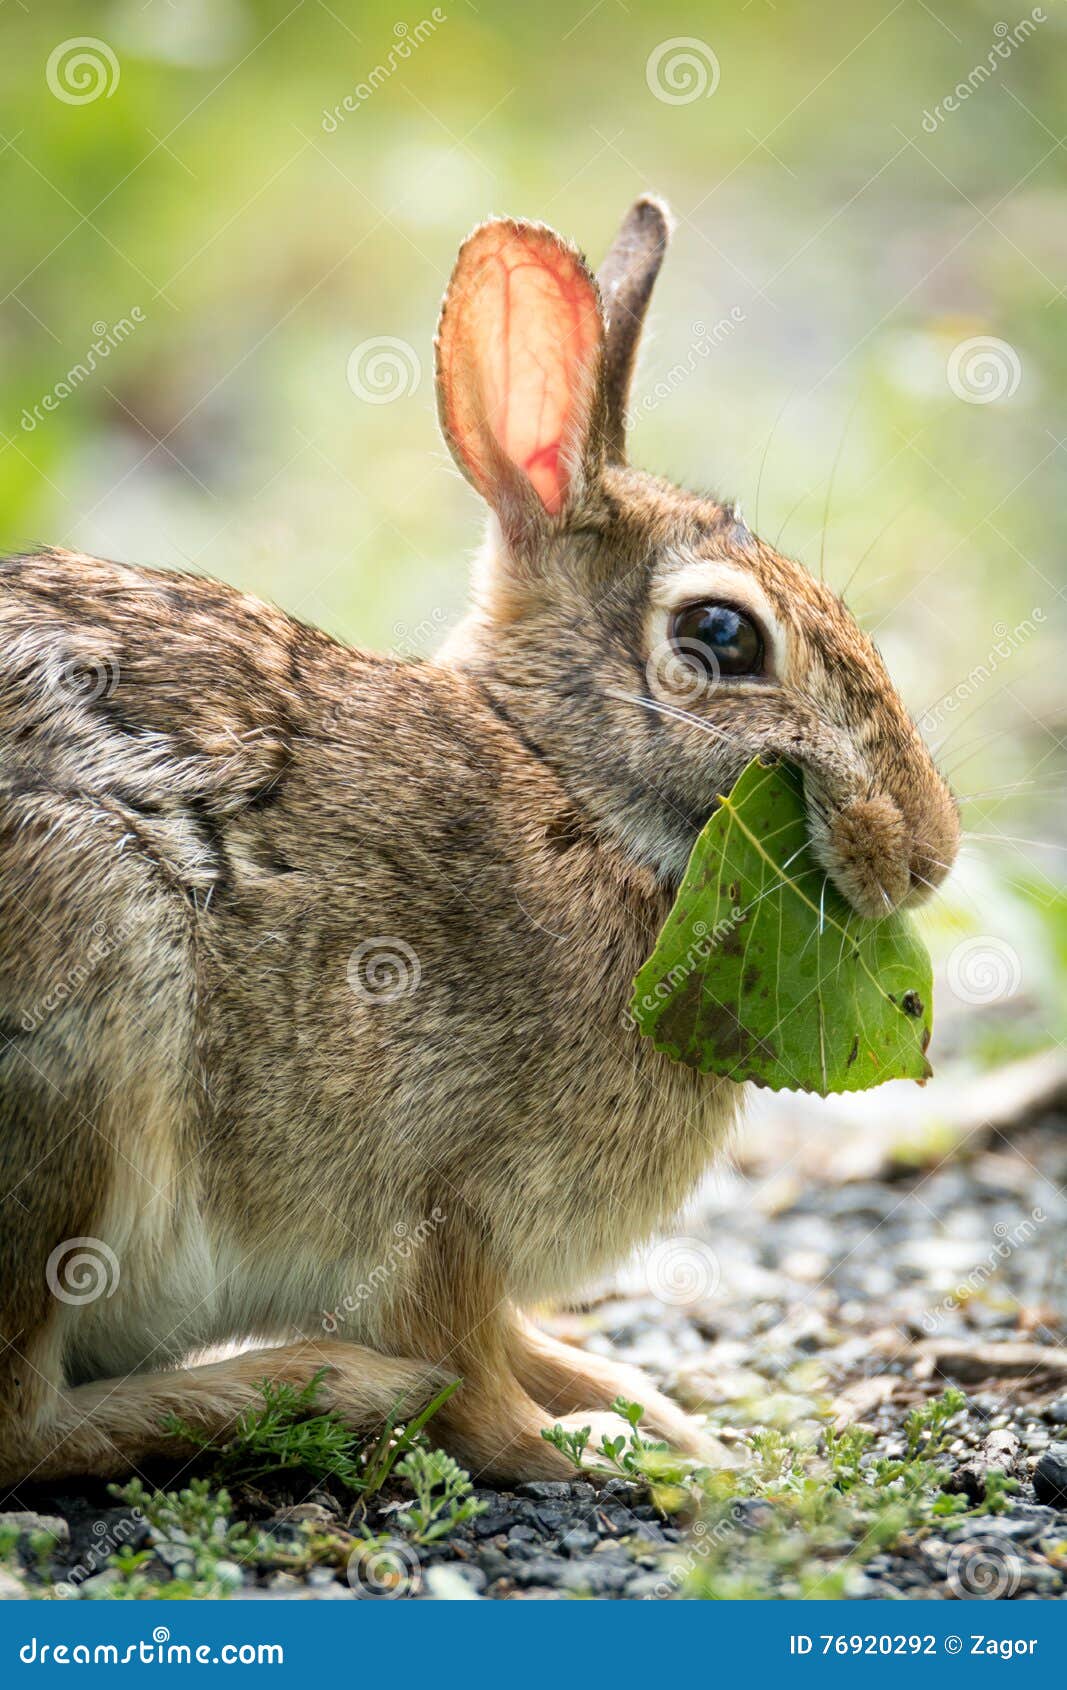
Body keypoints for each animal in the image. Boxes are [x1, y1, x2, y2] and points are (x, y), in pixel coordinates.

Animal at [0, 197, 959, 1491]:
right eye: (721, 635)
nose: (927, 854)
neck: (563, 785)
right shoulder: (438, 1201)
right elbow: (469, 1366)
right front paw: (585, 1449)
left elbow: (519, 1339)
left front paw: (659, 1415)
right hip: (85, 1023)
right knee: (21, 1420)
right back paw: (322, 1387)